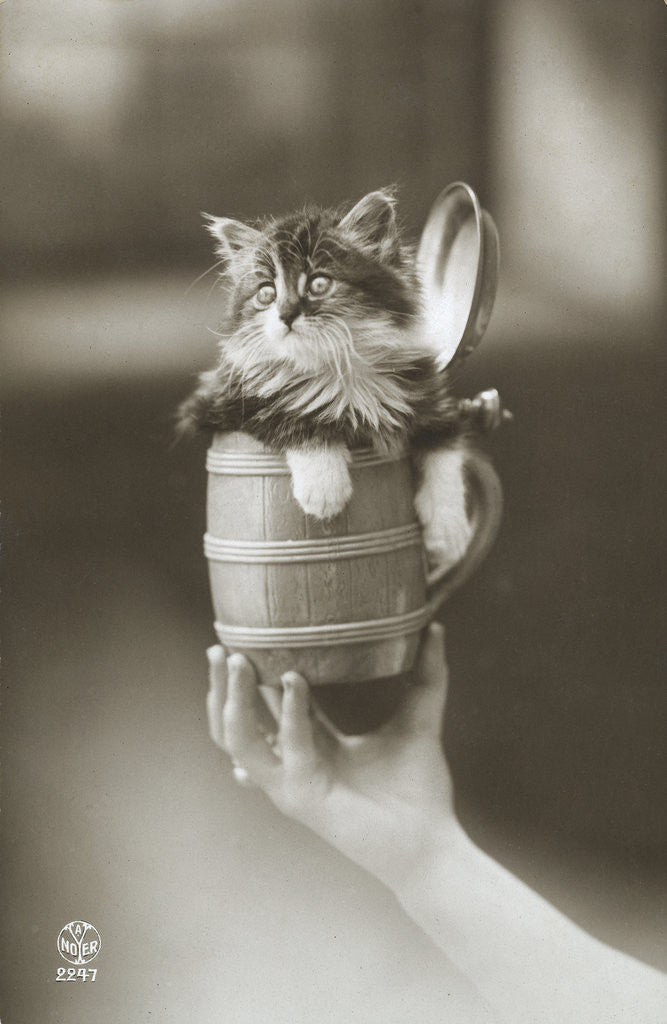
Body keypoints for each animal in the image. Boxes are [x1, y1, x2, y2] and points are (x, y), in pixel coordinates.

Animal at [178, 189, 472, 571]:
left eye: (319, 283)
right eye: (266, 293)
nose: (286, 314)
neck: (339, 371)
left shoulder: (431, 398)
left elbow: (445, 453)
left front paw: (450, 532)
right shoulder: (221, 401)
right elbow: (294, 414)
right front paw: (325, 490)